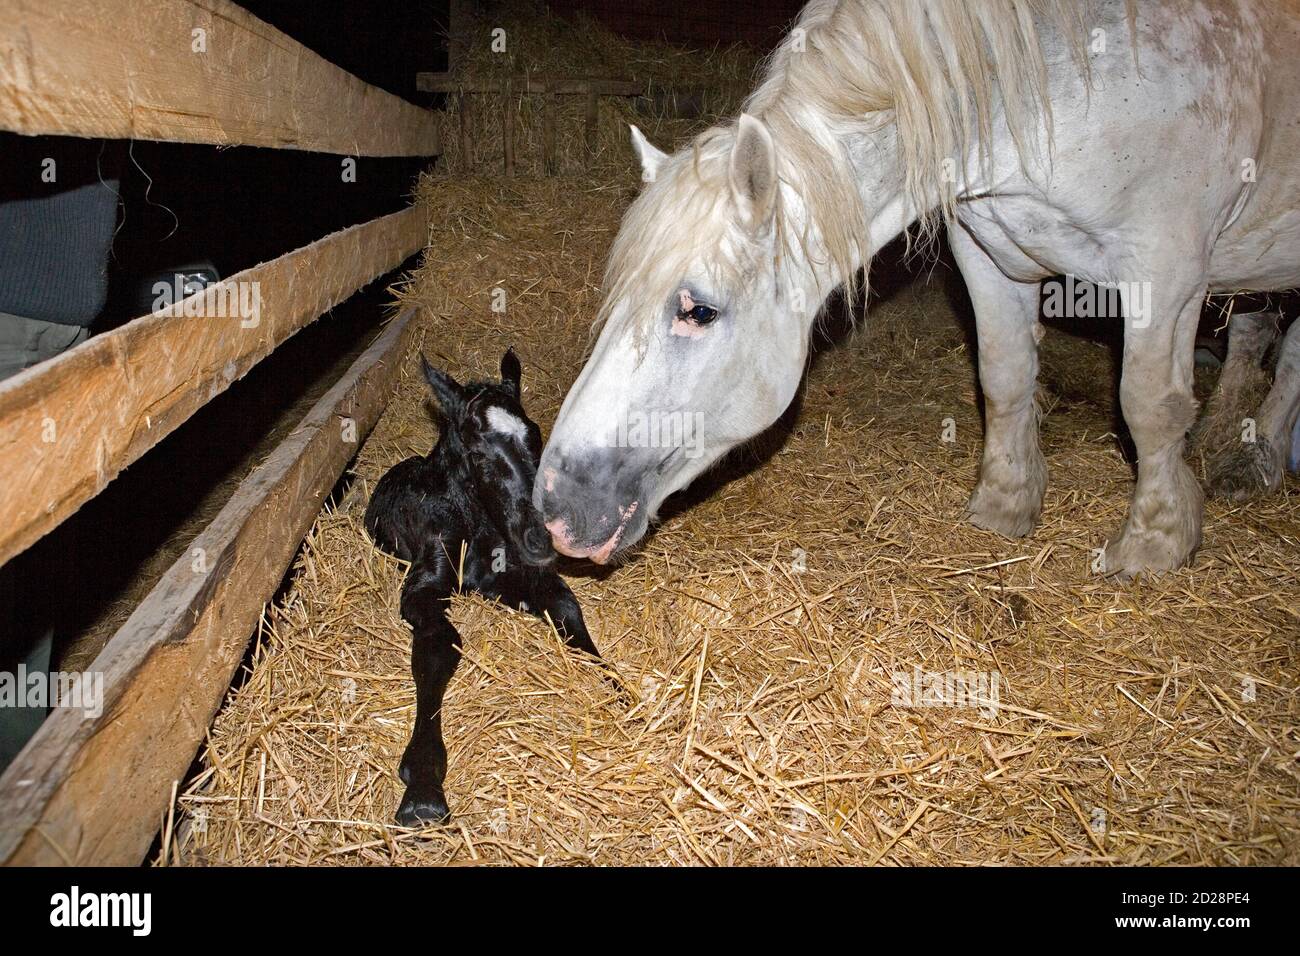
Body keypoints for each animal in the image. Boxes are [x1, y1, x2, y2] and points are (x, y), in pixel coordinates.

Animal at [365, 349, 602, 825]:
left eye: (536, 435)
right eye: (477, 451)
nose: (541, 536)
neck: (474, 525)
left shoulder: (510, 578)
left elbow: (566, 607)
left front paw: (619, 690)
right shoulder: (424, 588)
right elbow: (439, 645)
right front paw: (423, 788)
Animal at [534, 0, 1300, 577]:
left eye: (699, 310)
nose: (554, 505)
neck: (1070, 83)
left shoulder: (1164, 272)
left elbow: (1148, 407)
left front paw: (1154, 544)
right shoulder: (987, 254)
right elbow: (1004, 377)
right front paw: (1004, 507)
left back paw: (1249, 461)